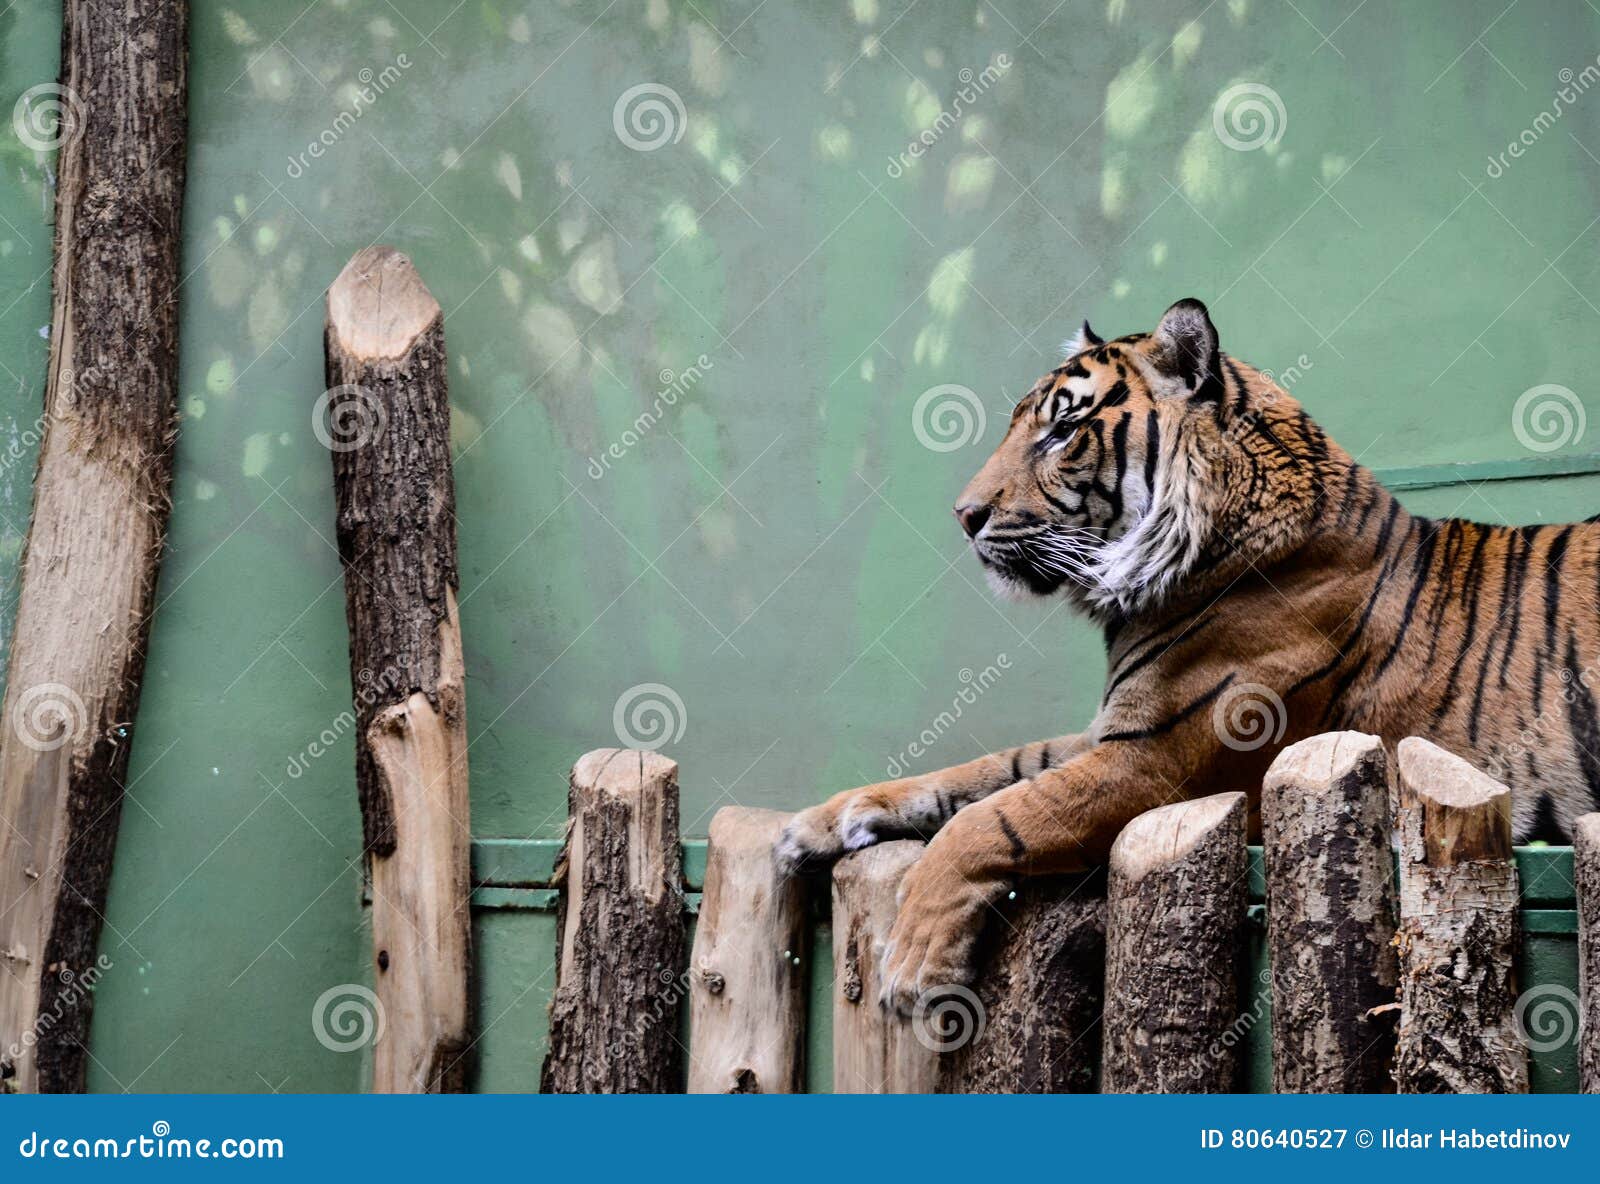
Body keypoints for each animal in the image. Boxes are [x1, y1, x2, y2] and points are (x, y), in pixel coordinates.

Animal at [777, 297, 1600, 1015]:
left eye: (1061, 432)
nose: (964, 516)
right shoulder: (1117, 730)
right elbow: (981, 772)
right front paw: (820, 822)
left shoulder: (1159, 763)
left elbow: (992, 818)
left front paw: (912, 964)